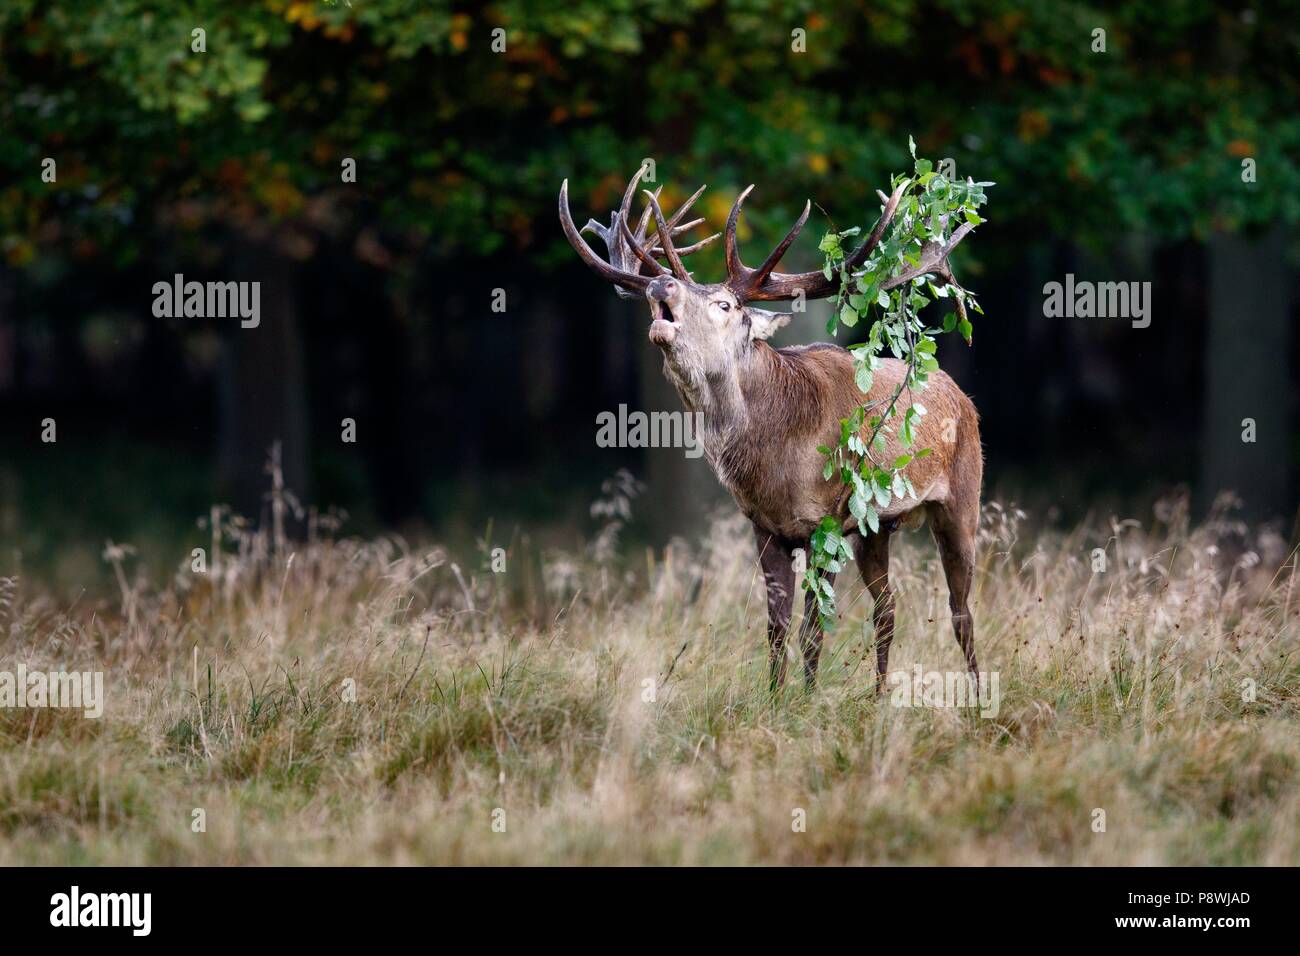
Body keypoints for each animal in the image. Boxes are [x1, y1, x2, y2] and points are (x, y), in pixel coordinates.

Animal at [559, 167, 983, 694]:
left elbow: (812, 631)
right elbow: (775, 629)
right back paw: (880, 696)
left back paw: (975, 696)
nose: (660, 284)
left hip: (962, 497)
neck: (776, 459)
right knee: (888, 608)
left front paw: (806, 700)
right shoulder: (763, 526)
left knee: (961, 611)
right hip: (877, 527)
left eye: (723, 304)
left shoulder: (828, 519)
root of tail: (963, 398)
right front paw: (776, 698)